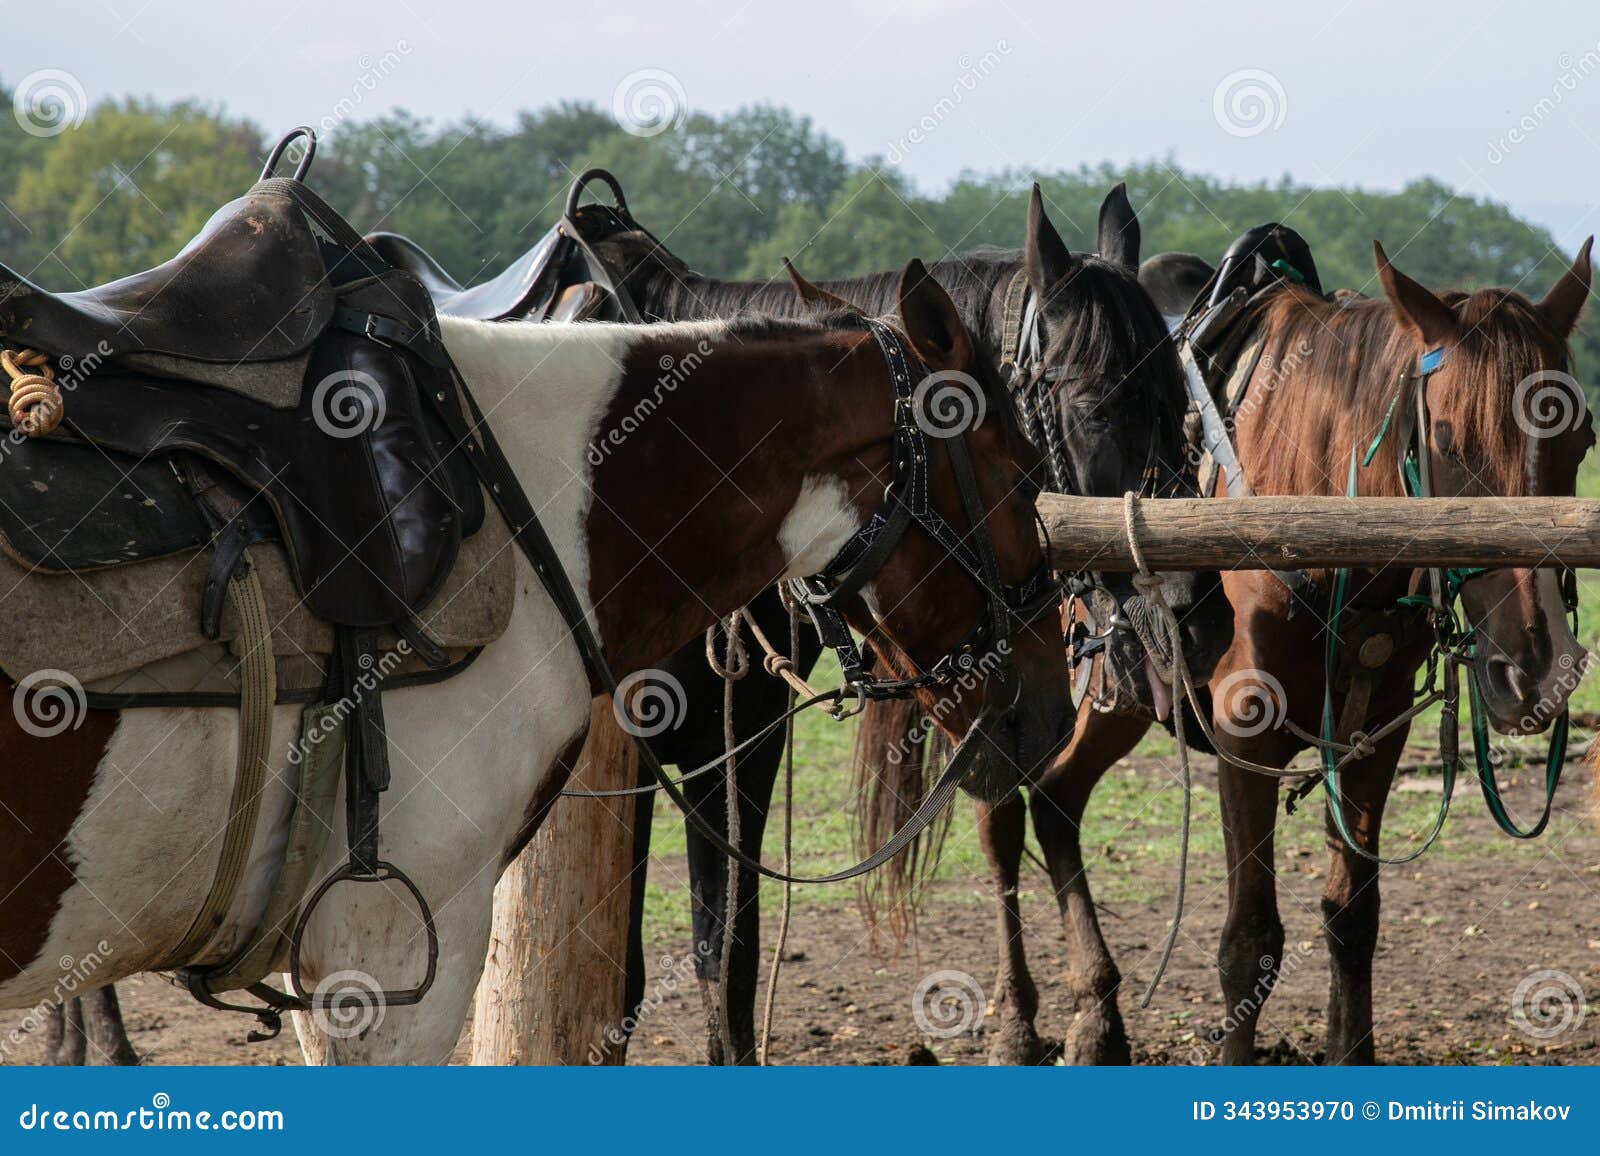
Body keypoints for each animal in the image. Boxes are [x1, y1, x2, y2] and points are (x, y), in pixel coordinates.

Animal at [589, 183, 1234, 1063]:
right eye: (1095, 410)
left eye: (1183, 406)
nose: (1198, 616)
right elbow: (622, 980)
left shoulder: (739, 752)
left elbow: (727, 953)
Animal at [1132, 237, 1592, 1065]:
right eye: (1446, 442)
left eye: (1583, 439)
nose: (1538, 669)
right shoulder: (1244, 733)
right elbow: (1249, 940)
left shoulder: (1375, 732)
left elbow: (1352, 916)